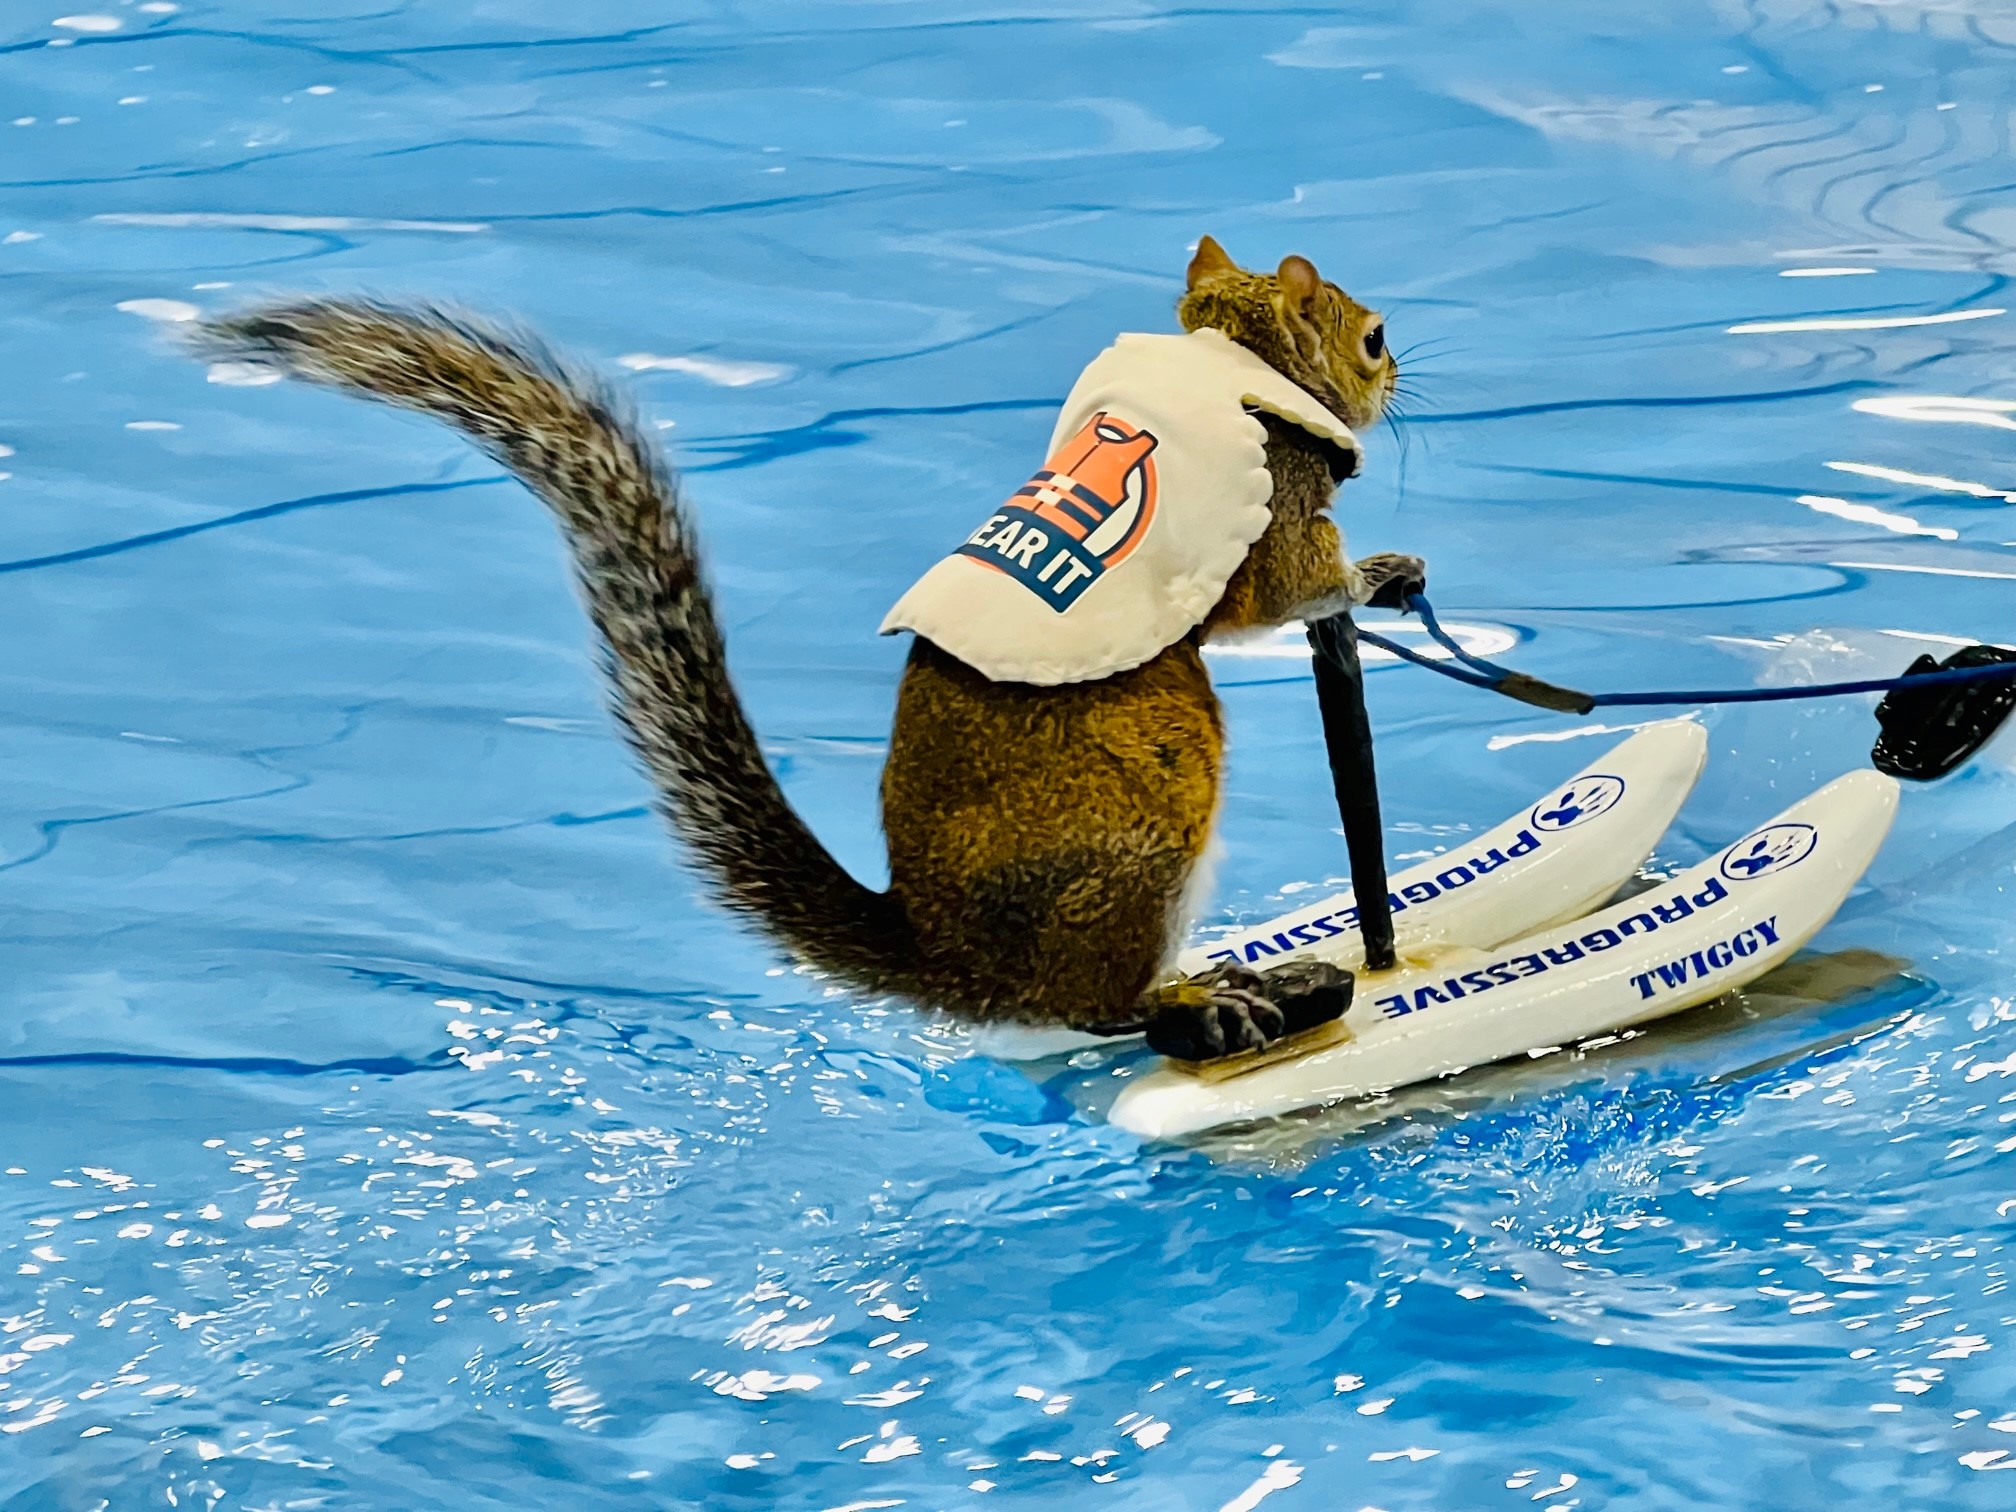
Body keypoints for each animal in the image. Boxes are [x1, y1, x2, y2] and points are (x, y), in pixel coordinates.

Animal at [186, 235, 1420, 1062]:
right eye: (1371, 338)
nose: (1398, 375)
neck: (1226, 358)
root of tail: (957, 967)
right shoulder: (1275, 503)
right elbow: (1284, 593)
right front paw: (1377, 576)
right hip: (1154, 806)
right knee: (1098, 1007)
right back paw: (1201, 1001)